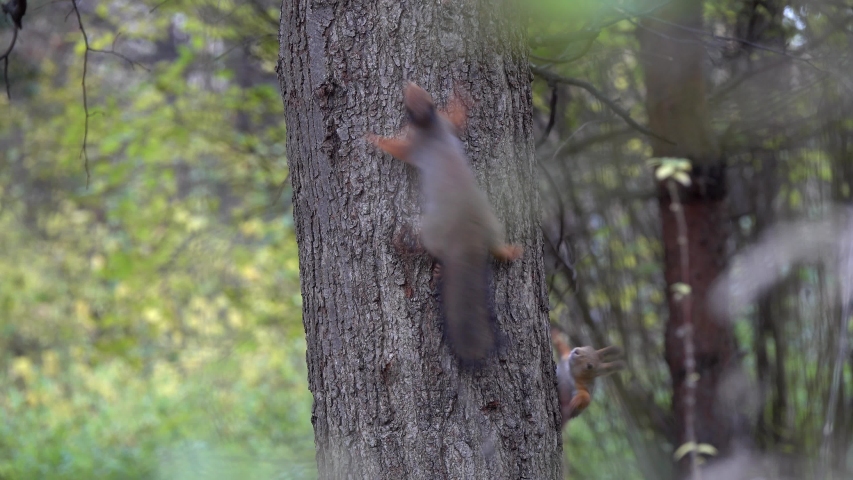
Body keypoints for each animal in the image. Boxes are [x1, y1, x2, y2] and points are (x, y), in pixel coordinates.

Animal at [367, 82, 523, 365]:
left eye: (410, 95)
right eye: (418, 90)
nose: (407, 82)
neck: (429, 125)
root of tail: (467, 233)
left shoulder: (414, 144)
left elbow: (398, 150)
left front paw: (375, 139)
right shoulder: (447, 125)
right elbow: (458, 120)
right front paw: (461, 99)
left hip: (432, 231)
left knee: (436, 249)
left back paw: (440, 267)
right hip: (492, 221)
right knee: (497, 246)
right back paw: (510, 251)